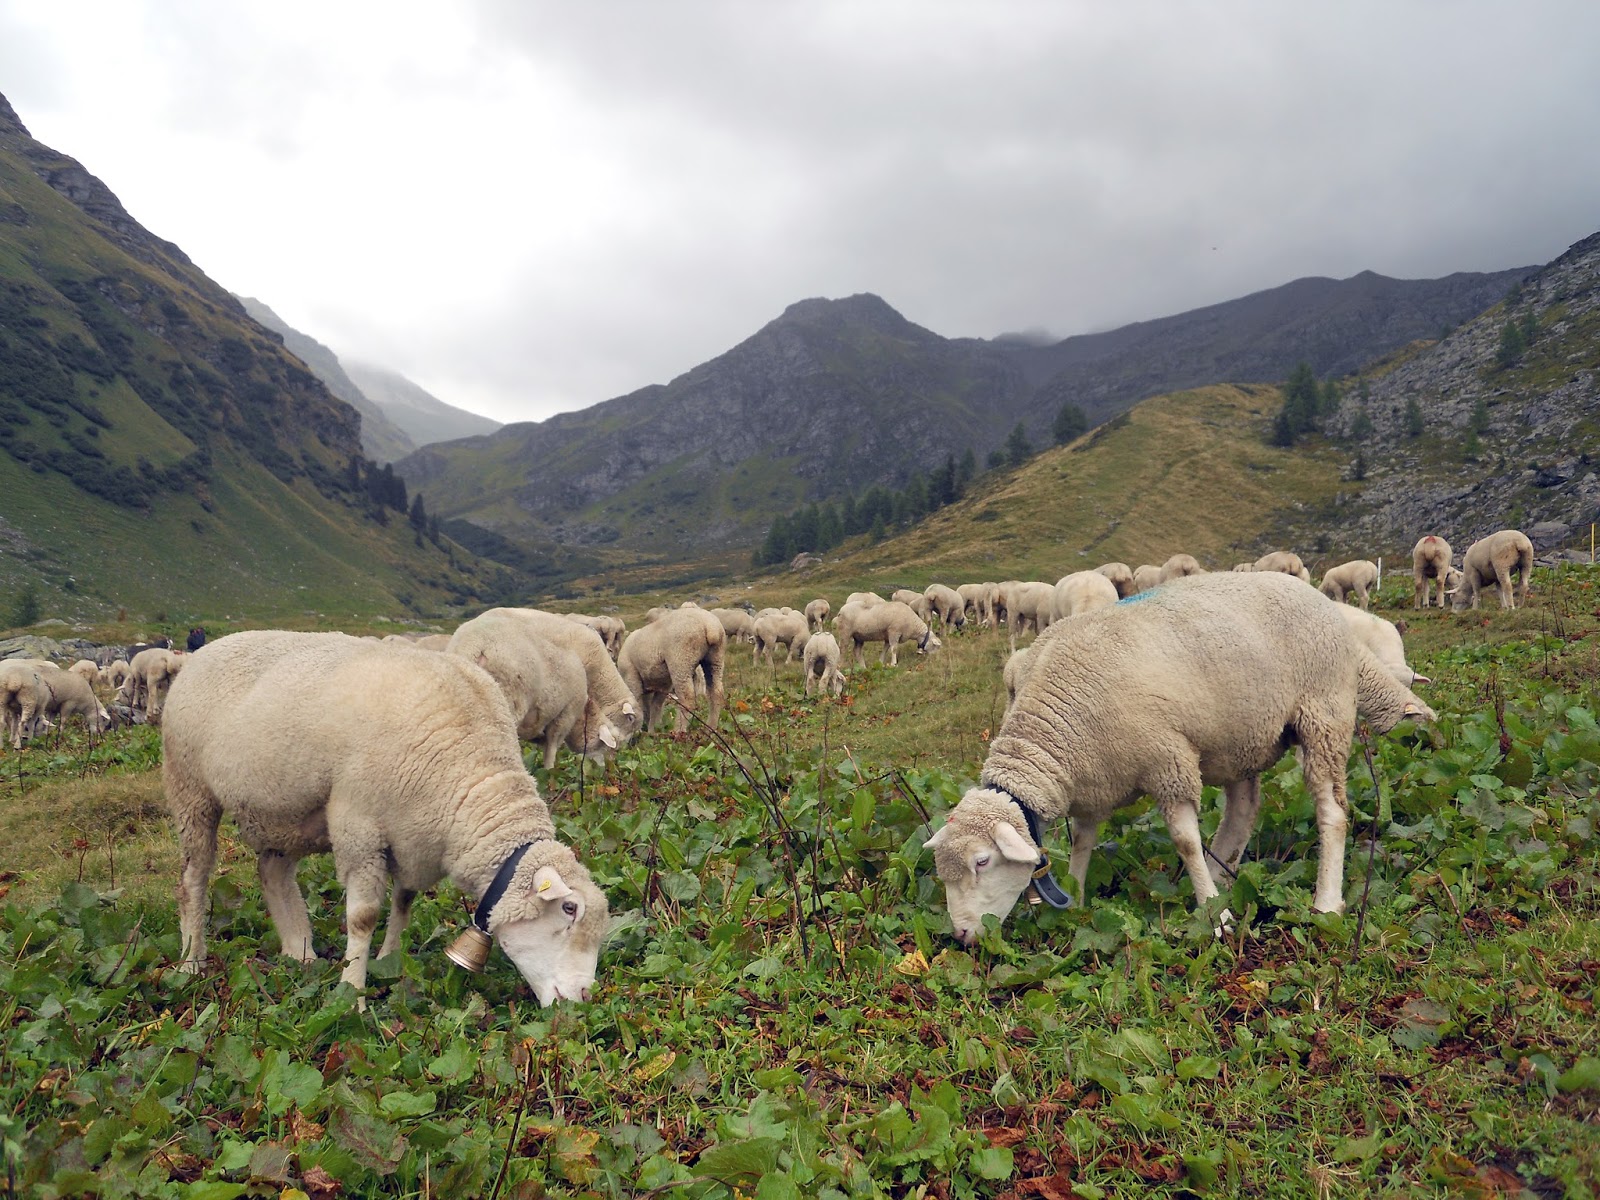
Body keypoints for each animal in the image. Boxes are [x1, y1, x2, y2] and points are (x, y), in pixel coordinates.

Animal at [163, 631, 607, 1006]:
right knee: (193, 879)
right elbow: (363, 918)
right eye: (569, 910)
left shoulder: (414, 837)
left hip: (284, 811)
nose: (585, 998)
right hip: (190, 787)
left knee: (272, 873)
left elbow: (405, 902)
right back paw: (191, 962)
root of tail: (204, 652)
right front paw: (352, 996)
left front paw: (389, 961)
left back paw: (301, 953)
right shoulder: (359, 825)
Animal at [446, 612, 620, 769]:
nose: (607, 770)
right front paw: (550, 772)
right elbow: (551, 752)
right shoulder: (564, 717)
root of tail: (474, 645)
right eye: (605, 747)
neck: (582, 717)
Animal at [923, 571, 1434, 944]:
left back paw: (1325, 901)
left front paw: (1216, 920)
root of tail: (1316, 596)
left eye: (982, 862)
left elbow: (1186, 841)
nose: (962, 936)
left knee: (1332, 812)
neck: (1053, 730)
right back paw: (1224, 880)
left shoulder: (1166, 760)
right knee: (1243, 810)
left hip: (1322, 714)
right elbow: (1083, 843)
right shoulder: (1094, 783)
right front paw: (1079, 898)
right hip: (1241, 735)